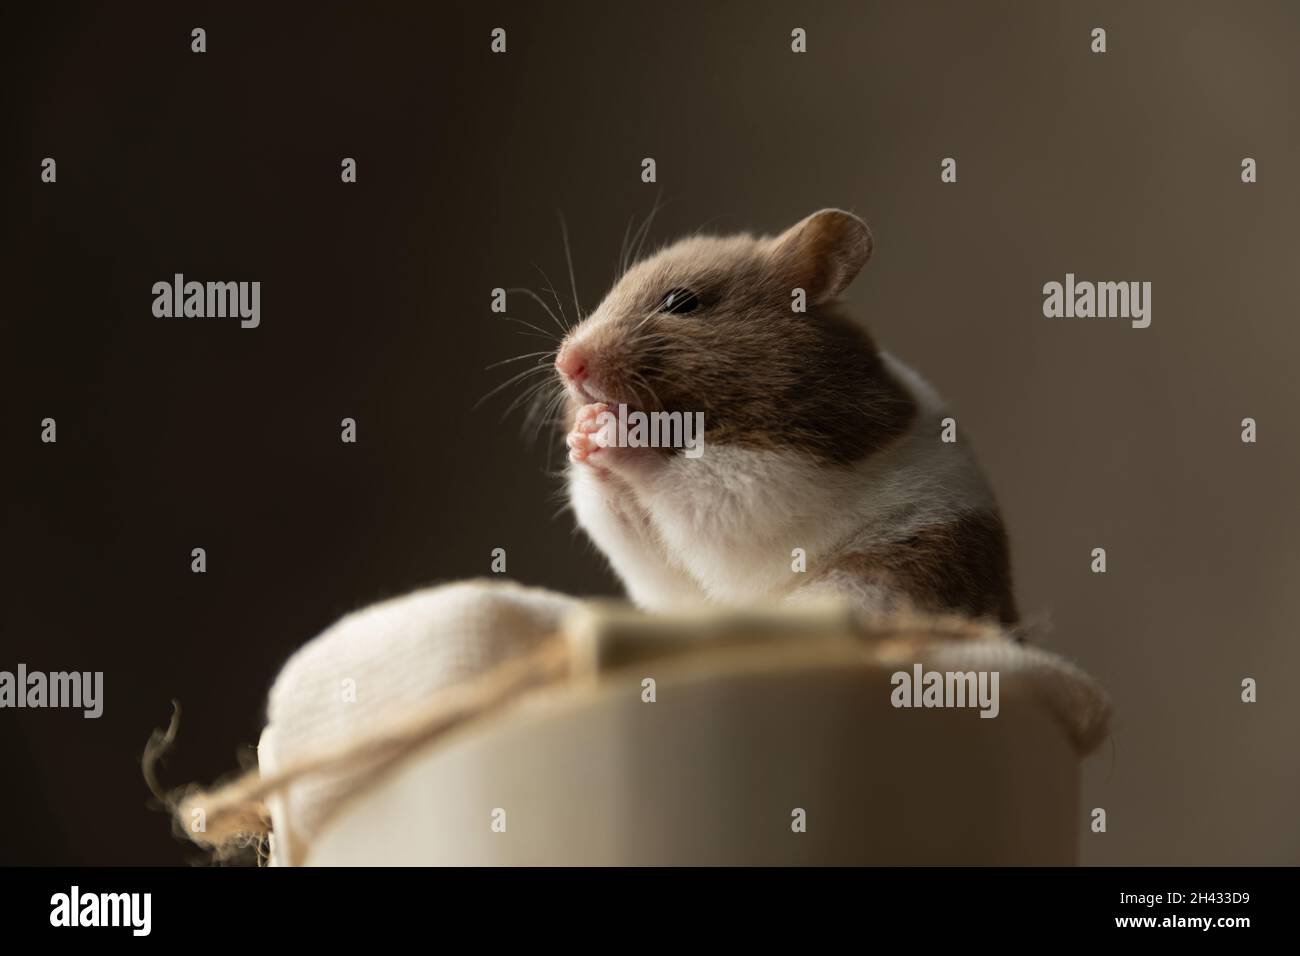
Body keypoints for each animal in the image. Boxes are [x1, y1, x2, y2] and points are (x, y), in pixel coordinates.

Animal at [554, 208, 1017, 626]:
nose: (565, 364)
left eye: (681, 302)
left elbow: (687, 484)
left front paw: (616, 431)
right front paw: (584, 432)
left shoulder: (780, 473)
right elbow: (619, 519)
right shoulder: (655, 561)